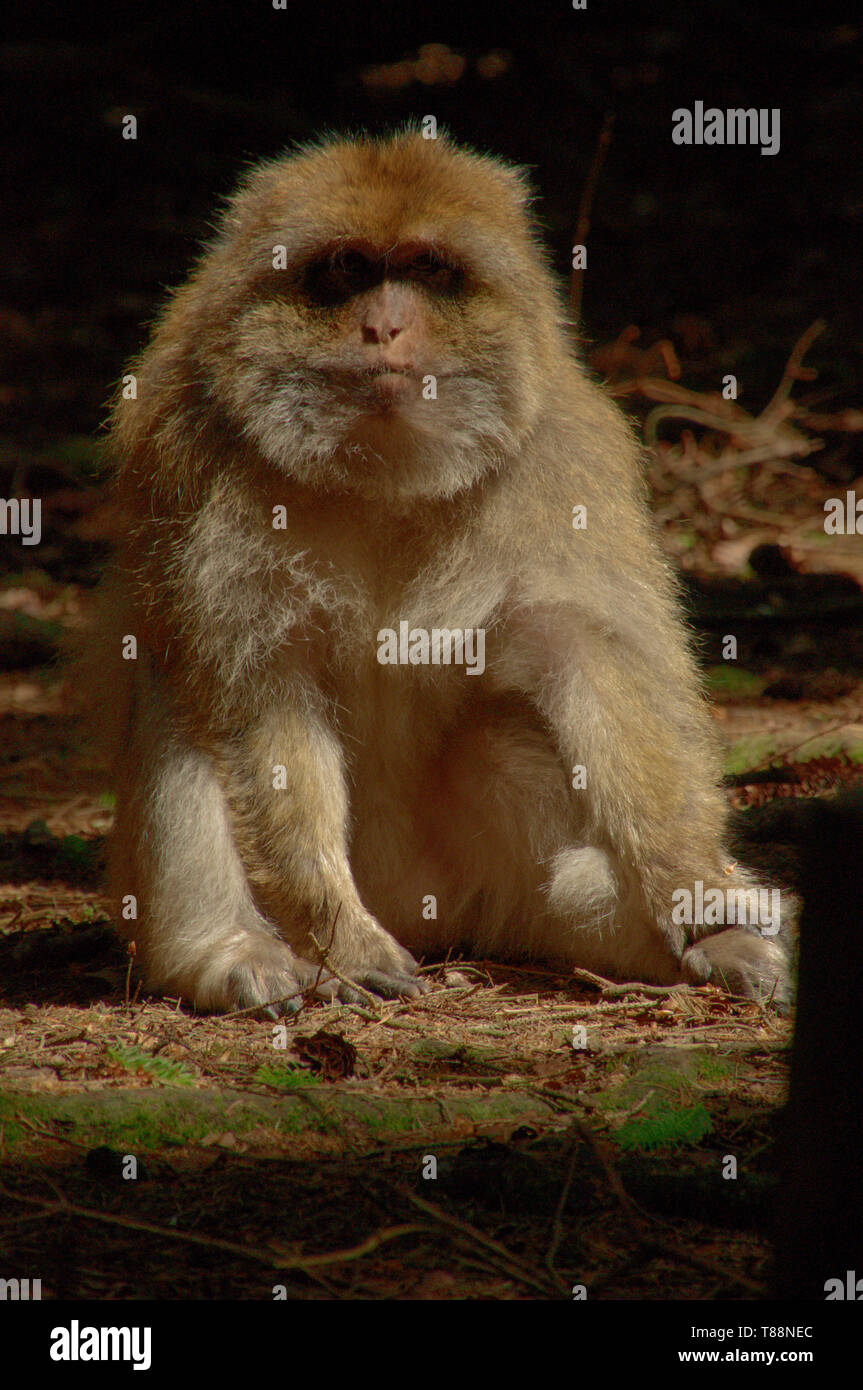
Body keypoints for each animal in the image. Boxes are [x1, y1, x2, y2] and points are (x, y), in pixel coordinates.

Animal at [91, 128, 788, 1016]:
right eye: (349, 268)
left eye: (426, 268)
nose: (384, 327)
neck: (383, 468)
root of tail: (424, 915)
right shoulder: (190, 450)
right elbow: (259, 686)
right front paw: (340, 936)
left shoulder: (561, 458)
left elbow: (595, 655)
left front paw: (696, 901)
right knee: (171, 684)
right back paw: (230, 953)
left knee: (502, 736)